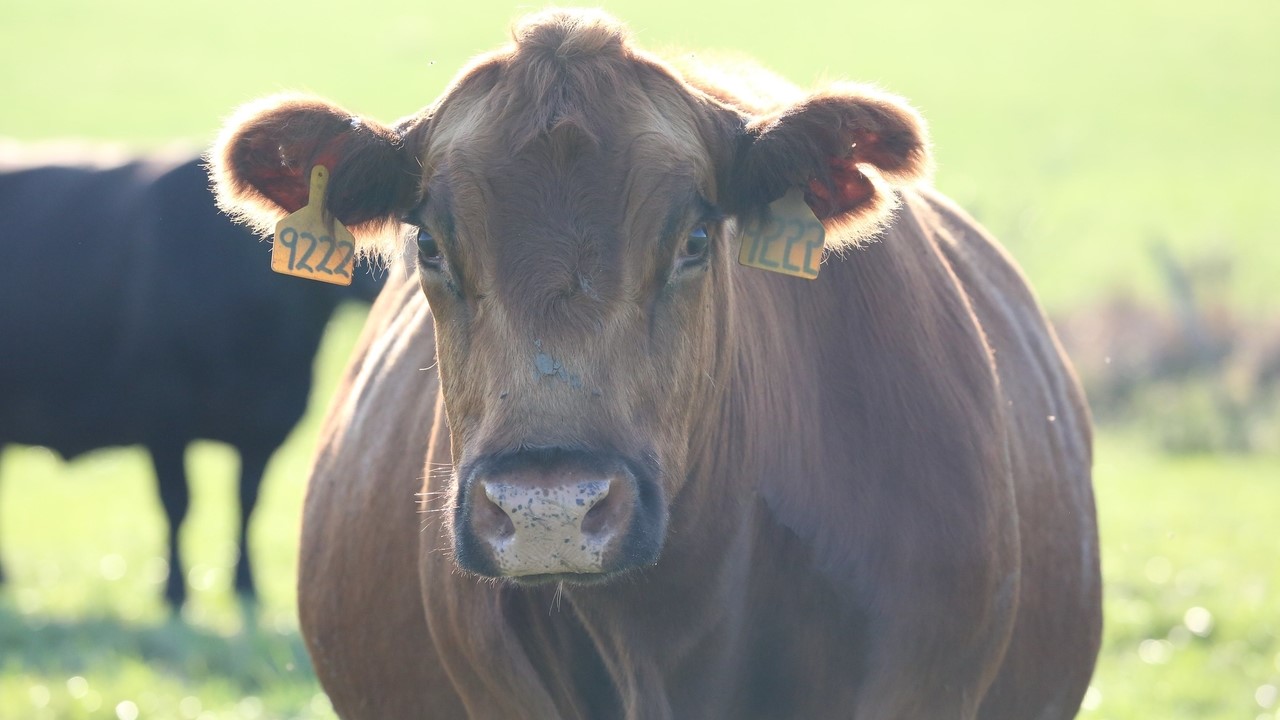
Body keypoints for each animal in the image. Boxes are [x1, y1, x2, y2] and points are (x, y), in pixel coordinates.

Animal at [0, 147, 384, 608]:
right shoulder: (163, 419)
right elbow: (177, 504)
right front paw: (175, 591)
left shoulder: (267, 424)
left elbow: (247, 501)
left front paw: (245, 585)